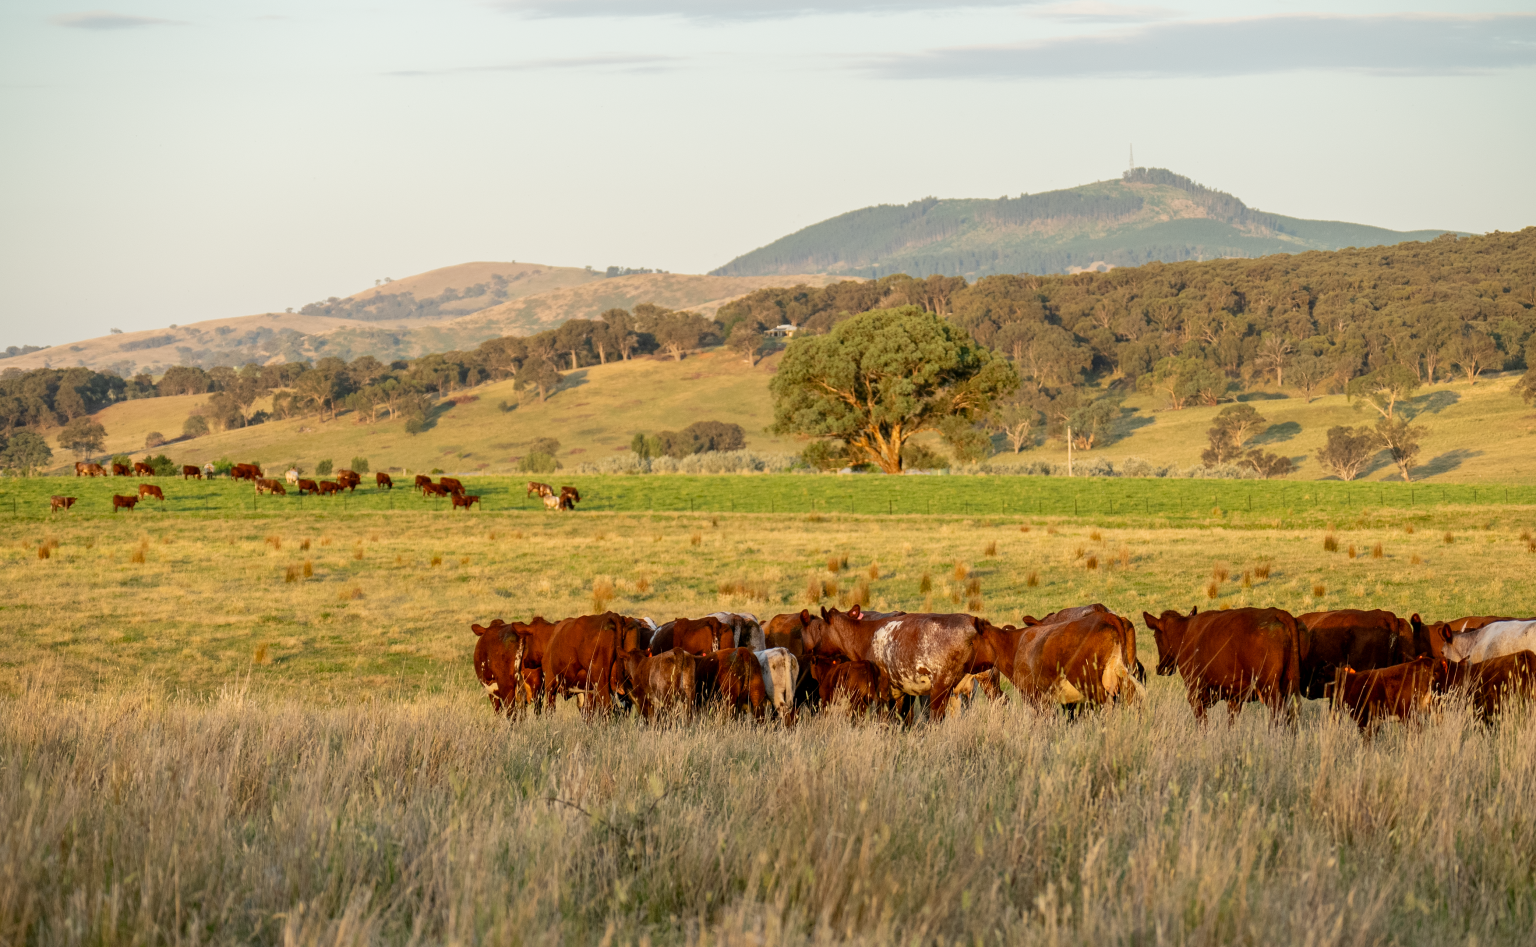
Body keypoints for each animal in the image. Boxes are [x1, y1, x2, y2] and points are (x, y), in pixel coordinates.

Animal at [804, 606, 979, 721]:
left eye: (820, 628)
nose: (813, 651)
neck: (864, 636)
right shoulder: (900, 691)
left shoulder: (880, 691)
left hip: (941, 687)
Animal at [1143, 607, 1306, 723]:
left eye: (1155, 636)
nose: (1161, 668)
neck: (1184, 632)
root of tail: (1277, 613)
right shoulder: (1234, 698)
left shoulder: (1194, 693)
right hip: (1288, 688)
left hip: (1270, 689)